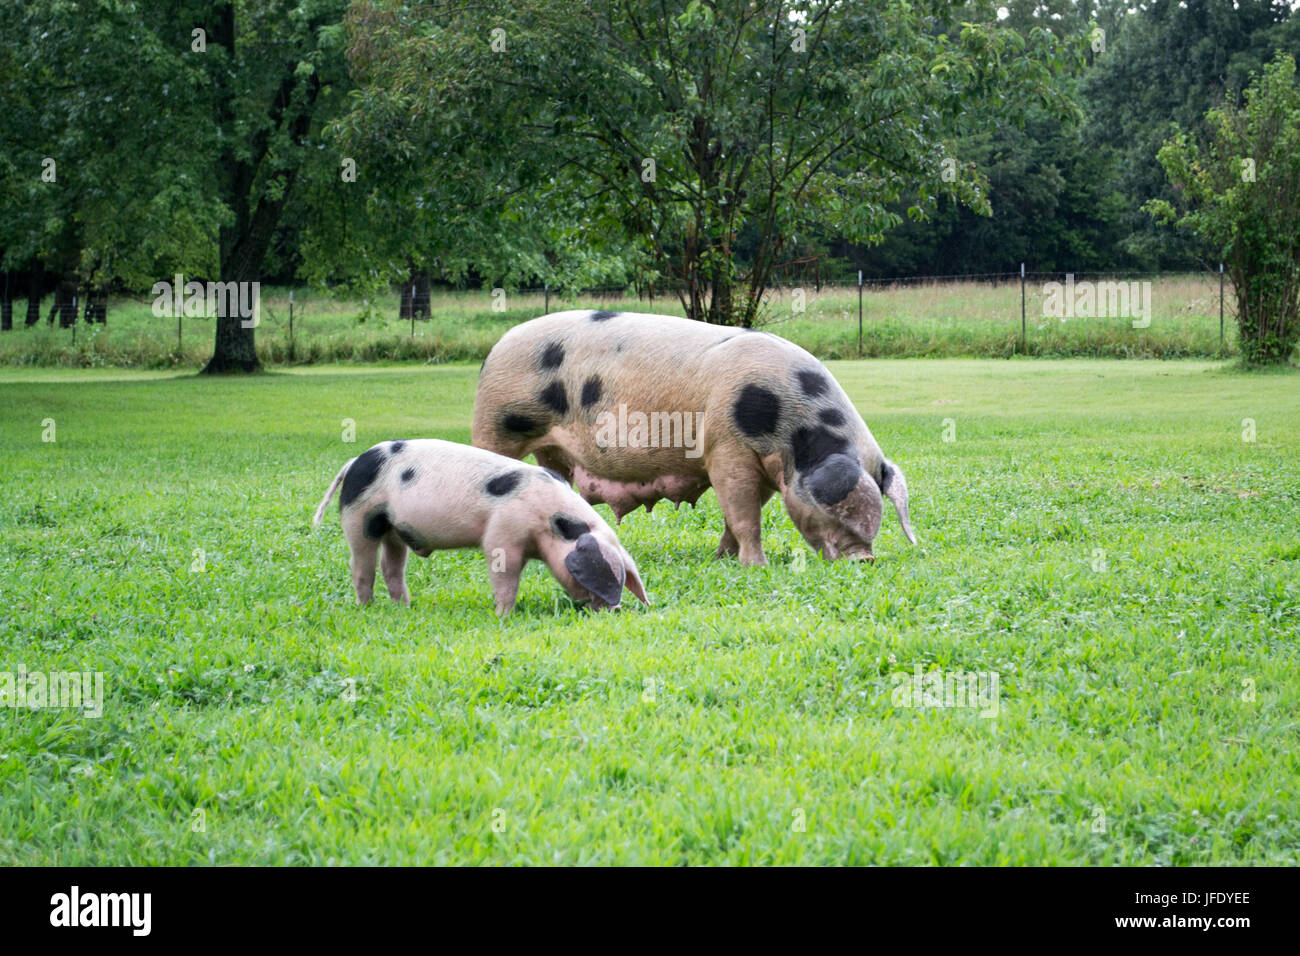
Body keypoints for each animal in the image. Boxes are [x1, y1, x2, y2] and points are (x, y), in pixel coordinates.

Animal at [312, 438, 649, 615]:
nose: (614, 609)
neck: (548, 520)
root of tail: (354, 462)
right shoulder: (503, 534)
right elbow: (505, 577)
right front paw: (503, 615)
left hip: (394, 529)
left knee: (391, 566)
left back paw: (405, 607)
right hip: (359, 516)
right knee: (361, 565)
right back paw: (366, 608)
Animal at [471, 310, 916, 566]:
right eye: (836, 509)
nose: (865, 559)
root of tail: (498, 345)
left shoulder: (763, 469)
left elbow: (737, 516)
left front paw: (723, 558)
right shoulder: (726, 449)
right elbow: (744, 515)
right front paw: (756, 566)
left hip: (550, 450)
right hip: (496, 423)